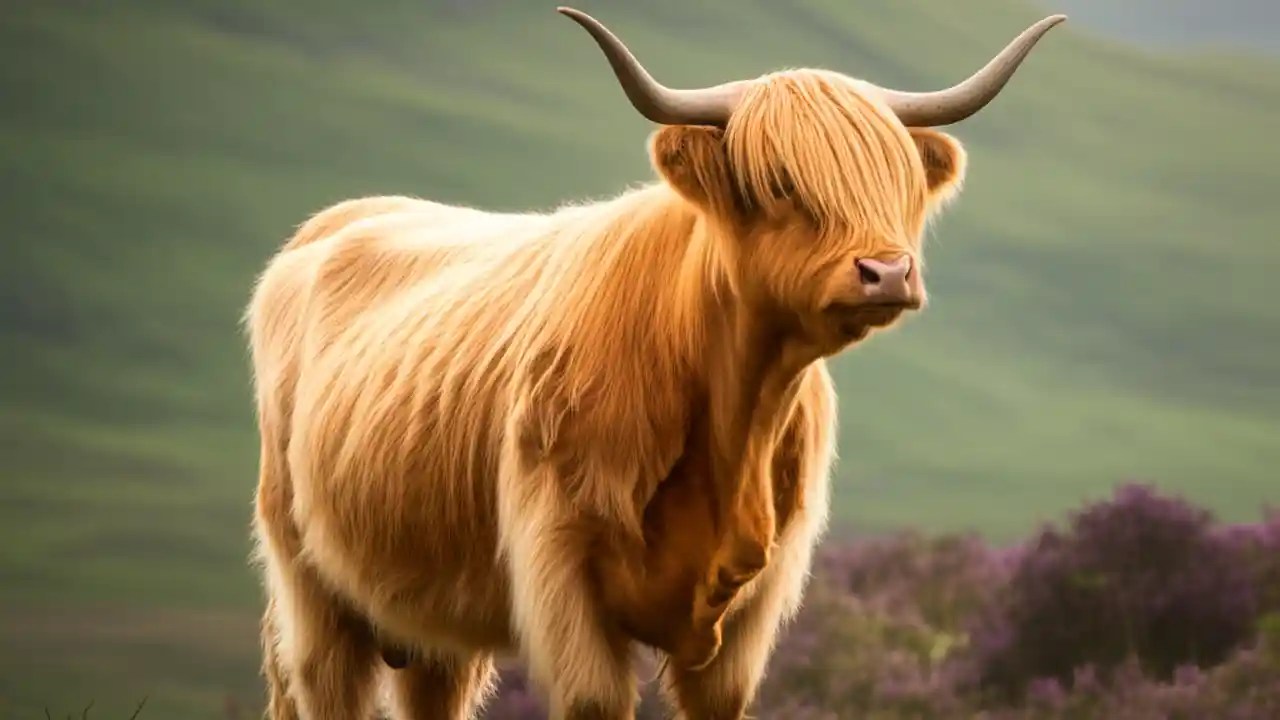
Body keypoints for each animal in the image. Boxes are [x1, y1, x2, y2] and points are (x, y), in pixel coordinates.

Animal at [244, 6, 1065, 719]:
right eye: (780, 181)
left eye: (897, 181)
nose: (887, 272)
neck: (736, 415)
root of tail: (332, 223)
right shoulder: (562, 570)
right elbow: (596, 700)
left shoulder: (751, 614)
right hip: (310, 590)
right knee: (322, 683)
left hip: (430, 620)